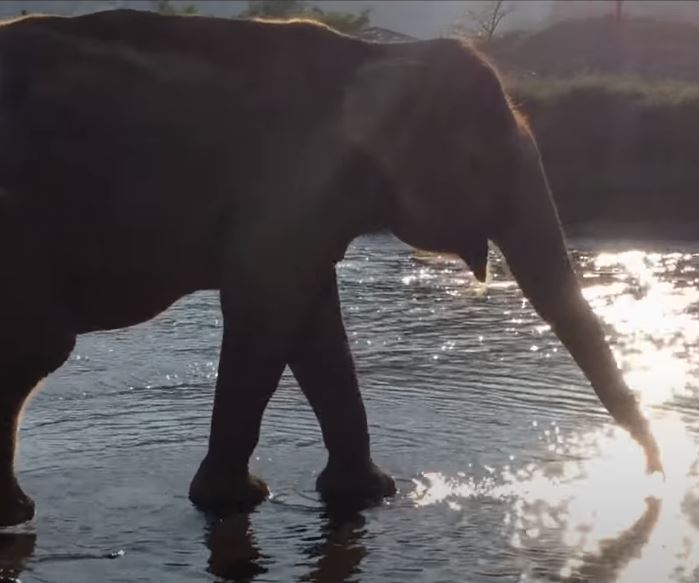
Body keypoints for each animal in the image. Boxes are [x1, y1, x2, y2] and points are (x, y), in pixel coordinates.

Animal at [0, 9, 661, 527]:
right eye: (479, 162)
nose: (655, 473)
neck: (375, 55)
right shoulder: (294, 180)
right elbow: (267, 306)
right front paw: (238, 500)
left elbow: (315, 325)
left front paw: (371, 494)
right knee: (38, 347)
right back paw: (18, 513)